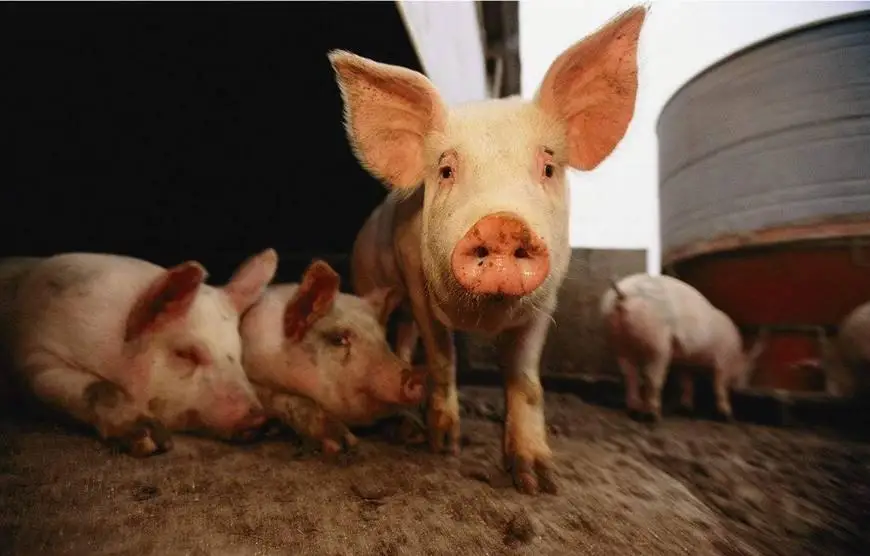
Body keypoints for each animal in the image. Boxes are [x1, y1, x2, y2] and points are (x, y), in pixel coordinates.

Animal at [0, 249, 279, 457]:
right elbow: (97, 388)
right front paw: (151, 442)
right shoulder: (34, 352)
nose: (260, 420)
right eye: (185, 353)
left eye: (238, 353)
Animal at [330, 6, 648, 494]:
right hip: (370, 279)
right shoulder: (416, 280)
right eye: (445, 170)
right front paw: (445, 447)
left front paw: (537, 480)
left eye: (549, 167)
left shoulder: (545, 302)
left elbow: (525, 379)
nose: (502, 224)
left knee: (403, 339)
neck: (482, 318)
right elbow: (443, 357)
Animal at [600, 273, 767, 422]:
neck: (736, 354)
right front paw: (727, 416)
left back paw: (634, 410)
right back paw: (653, 417)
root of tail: (624, 295)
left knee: (629, 374)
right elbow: (719, 386)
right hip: (657, 341)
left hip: (617, 340)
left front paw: (686, 409)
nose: (744, 388)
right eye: (751, 369)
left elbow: (687, 381)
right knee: (651, 377)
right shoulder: (722, 360)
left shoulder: (685, 362)